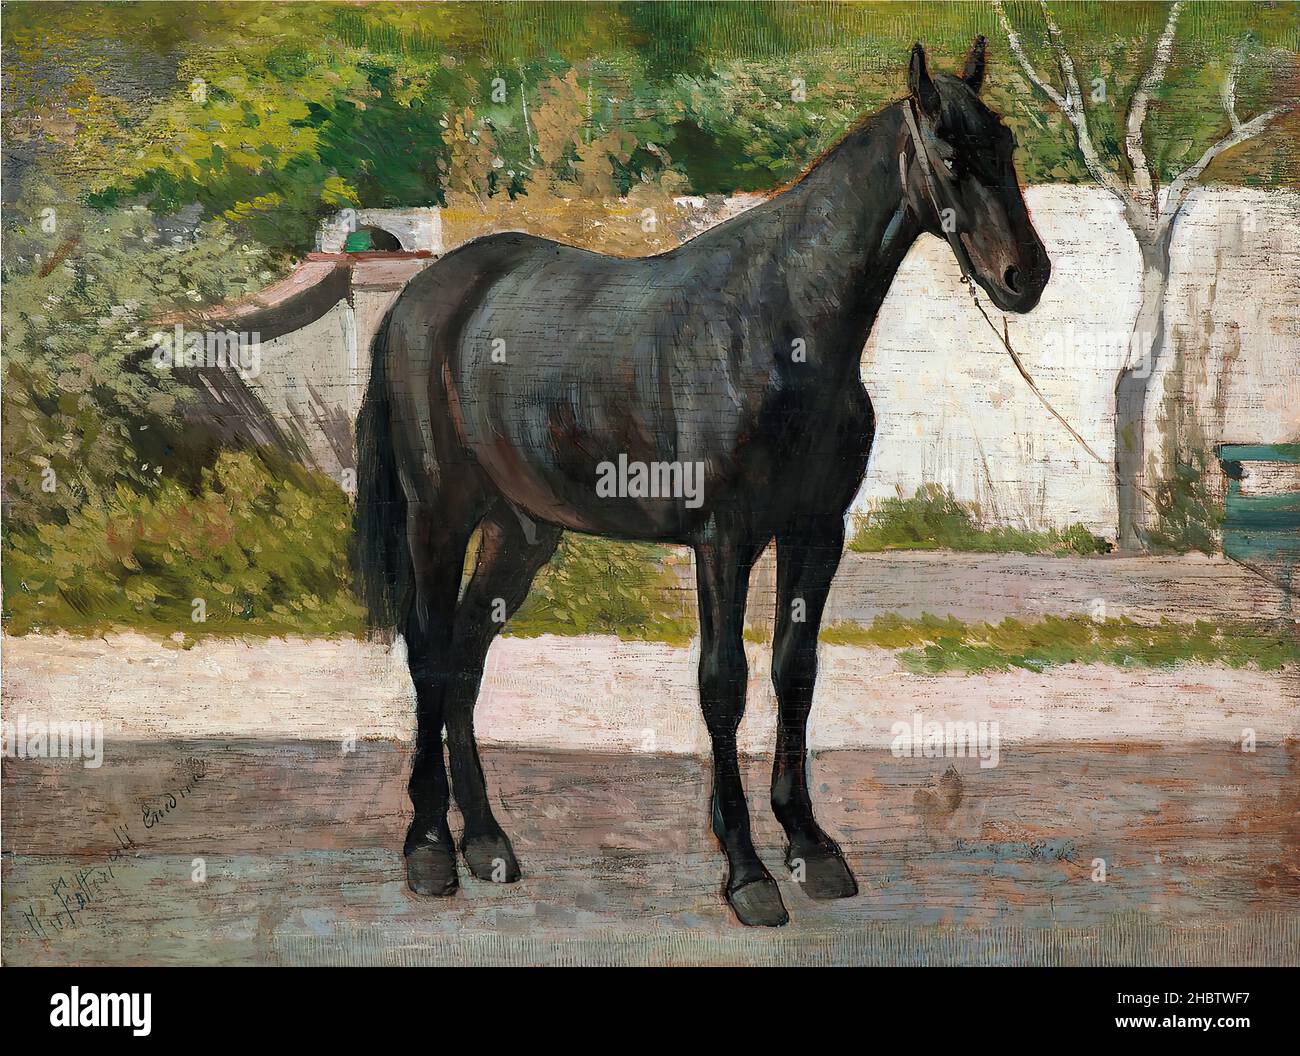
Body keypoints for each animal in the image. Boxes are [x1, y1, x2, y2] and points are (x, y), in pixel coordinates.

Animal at [353, 39, 1051, 927]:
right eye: (952, 156)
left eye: (1009, 143)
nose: (1025, 276)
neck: (778, 322)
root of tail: (417, 299)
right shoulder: (723, 540)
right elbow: (724, 685)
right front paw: (747, 871)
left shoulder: (817, 532)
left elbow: (796, 673)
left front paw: (812, 846)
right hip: (439, 516)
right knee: (431, 654)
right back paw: (429, 850)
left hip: (522, 531)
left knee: (468, 657)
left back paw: (487, 842)